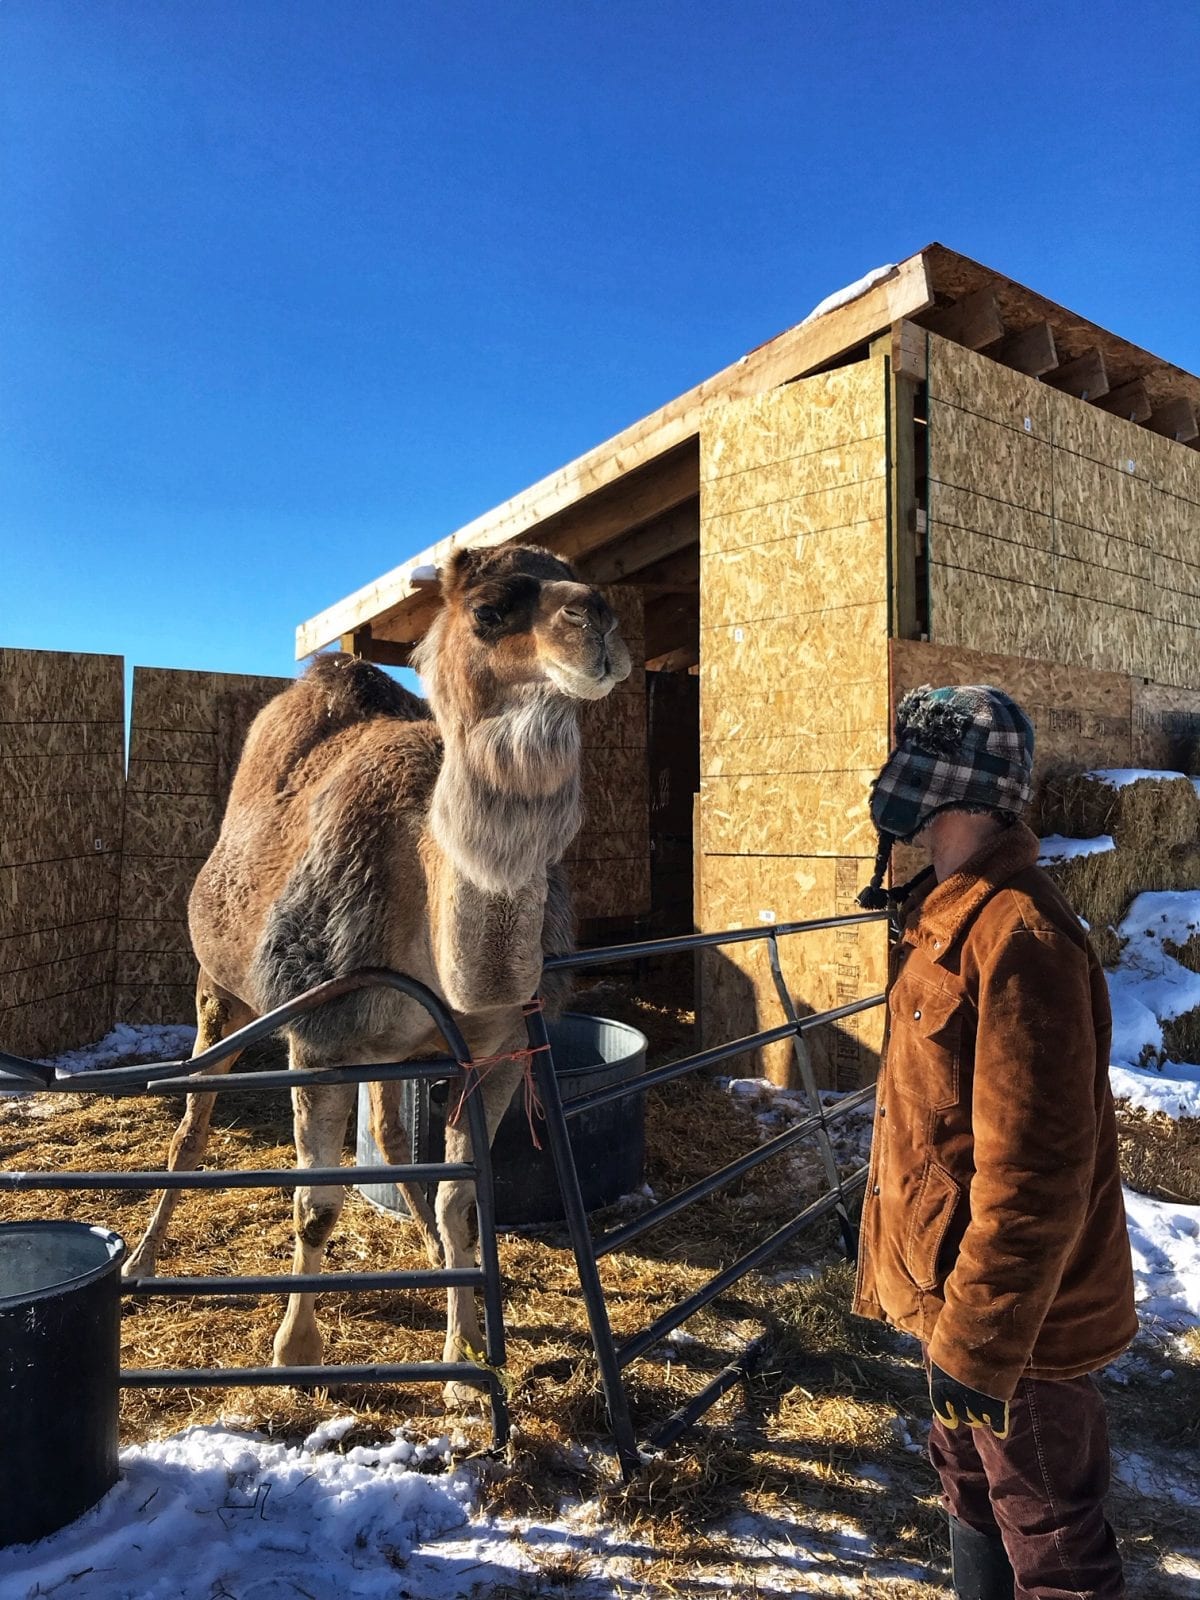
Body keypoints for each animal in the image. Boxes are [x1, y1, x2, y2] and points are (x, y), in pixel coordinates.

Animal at [123, 544, 630, 1398]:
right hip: (221, 990)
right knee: (192, 1128)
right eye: (490, 608)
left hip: (390, 1046)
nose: (597, 614)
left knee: (393, 1135)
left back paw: (427, 1251)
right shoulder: (319, 1038)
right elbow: (316, 1206)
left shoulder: (498, 1047)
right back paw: (139, 1260)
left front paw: (468, 1359)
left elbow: (463, 1195)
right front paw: (295, 1354)